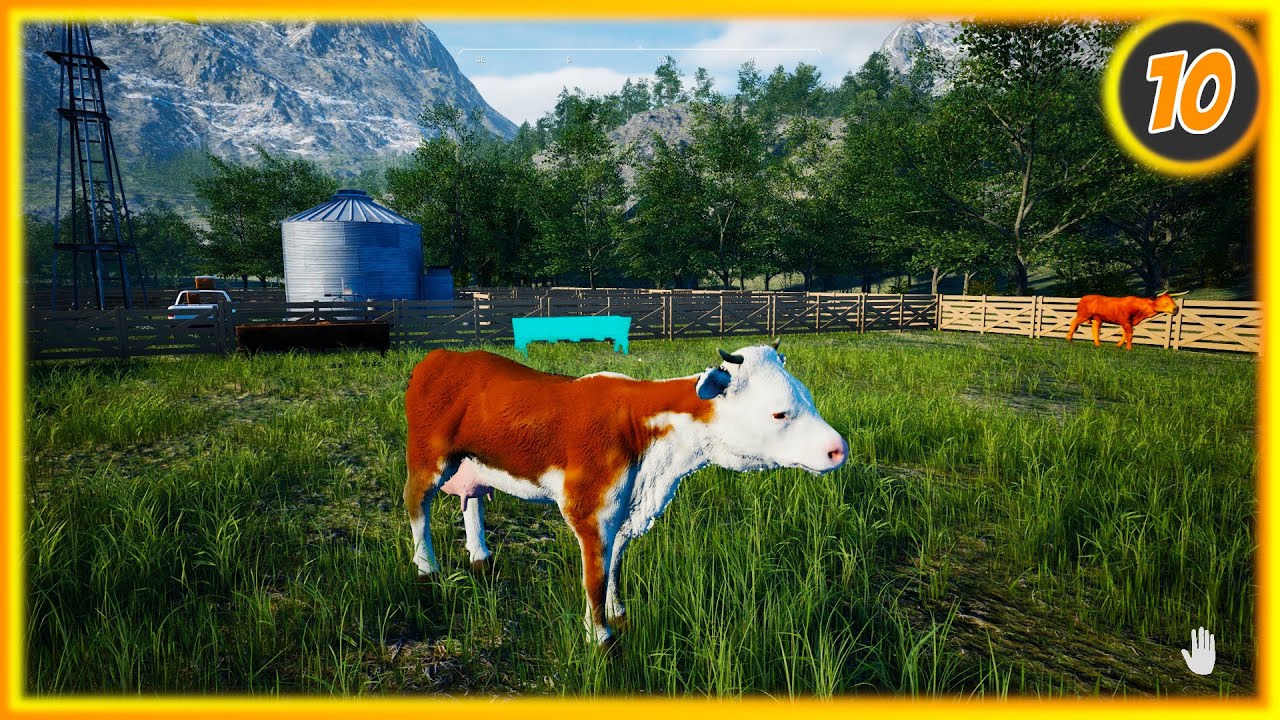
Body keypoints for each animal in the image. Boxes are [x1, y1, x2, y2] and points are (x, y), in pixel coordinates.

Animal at [403, 342, 847, 646]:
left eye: (807, 397)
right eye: (779, 412)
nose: (839, 449)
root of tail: (441, 355)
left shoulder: (624, 508)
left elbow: (615, 562)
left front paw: (617, 613)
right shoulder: (589, 508)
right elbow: (595, 576)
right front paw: (599, 636)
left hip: (471, 463)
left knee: (472, 500)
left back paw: (480, 555)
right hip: (426, 458)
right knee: (416, 504)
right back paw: (426, 567)